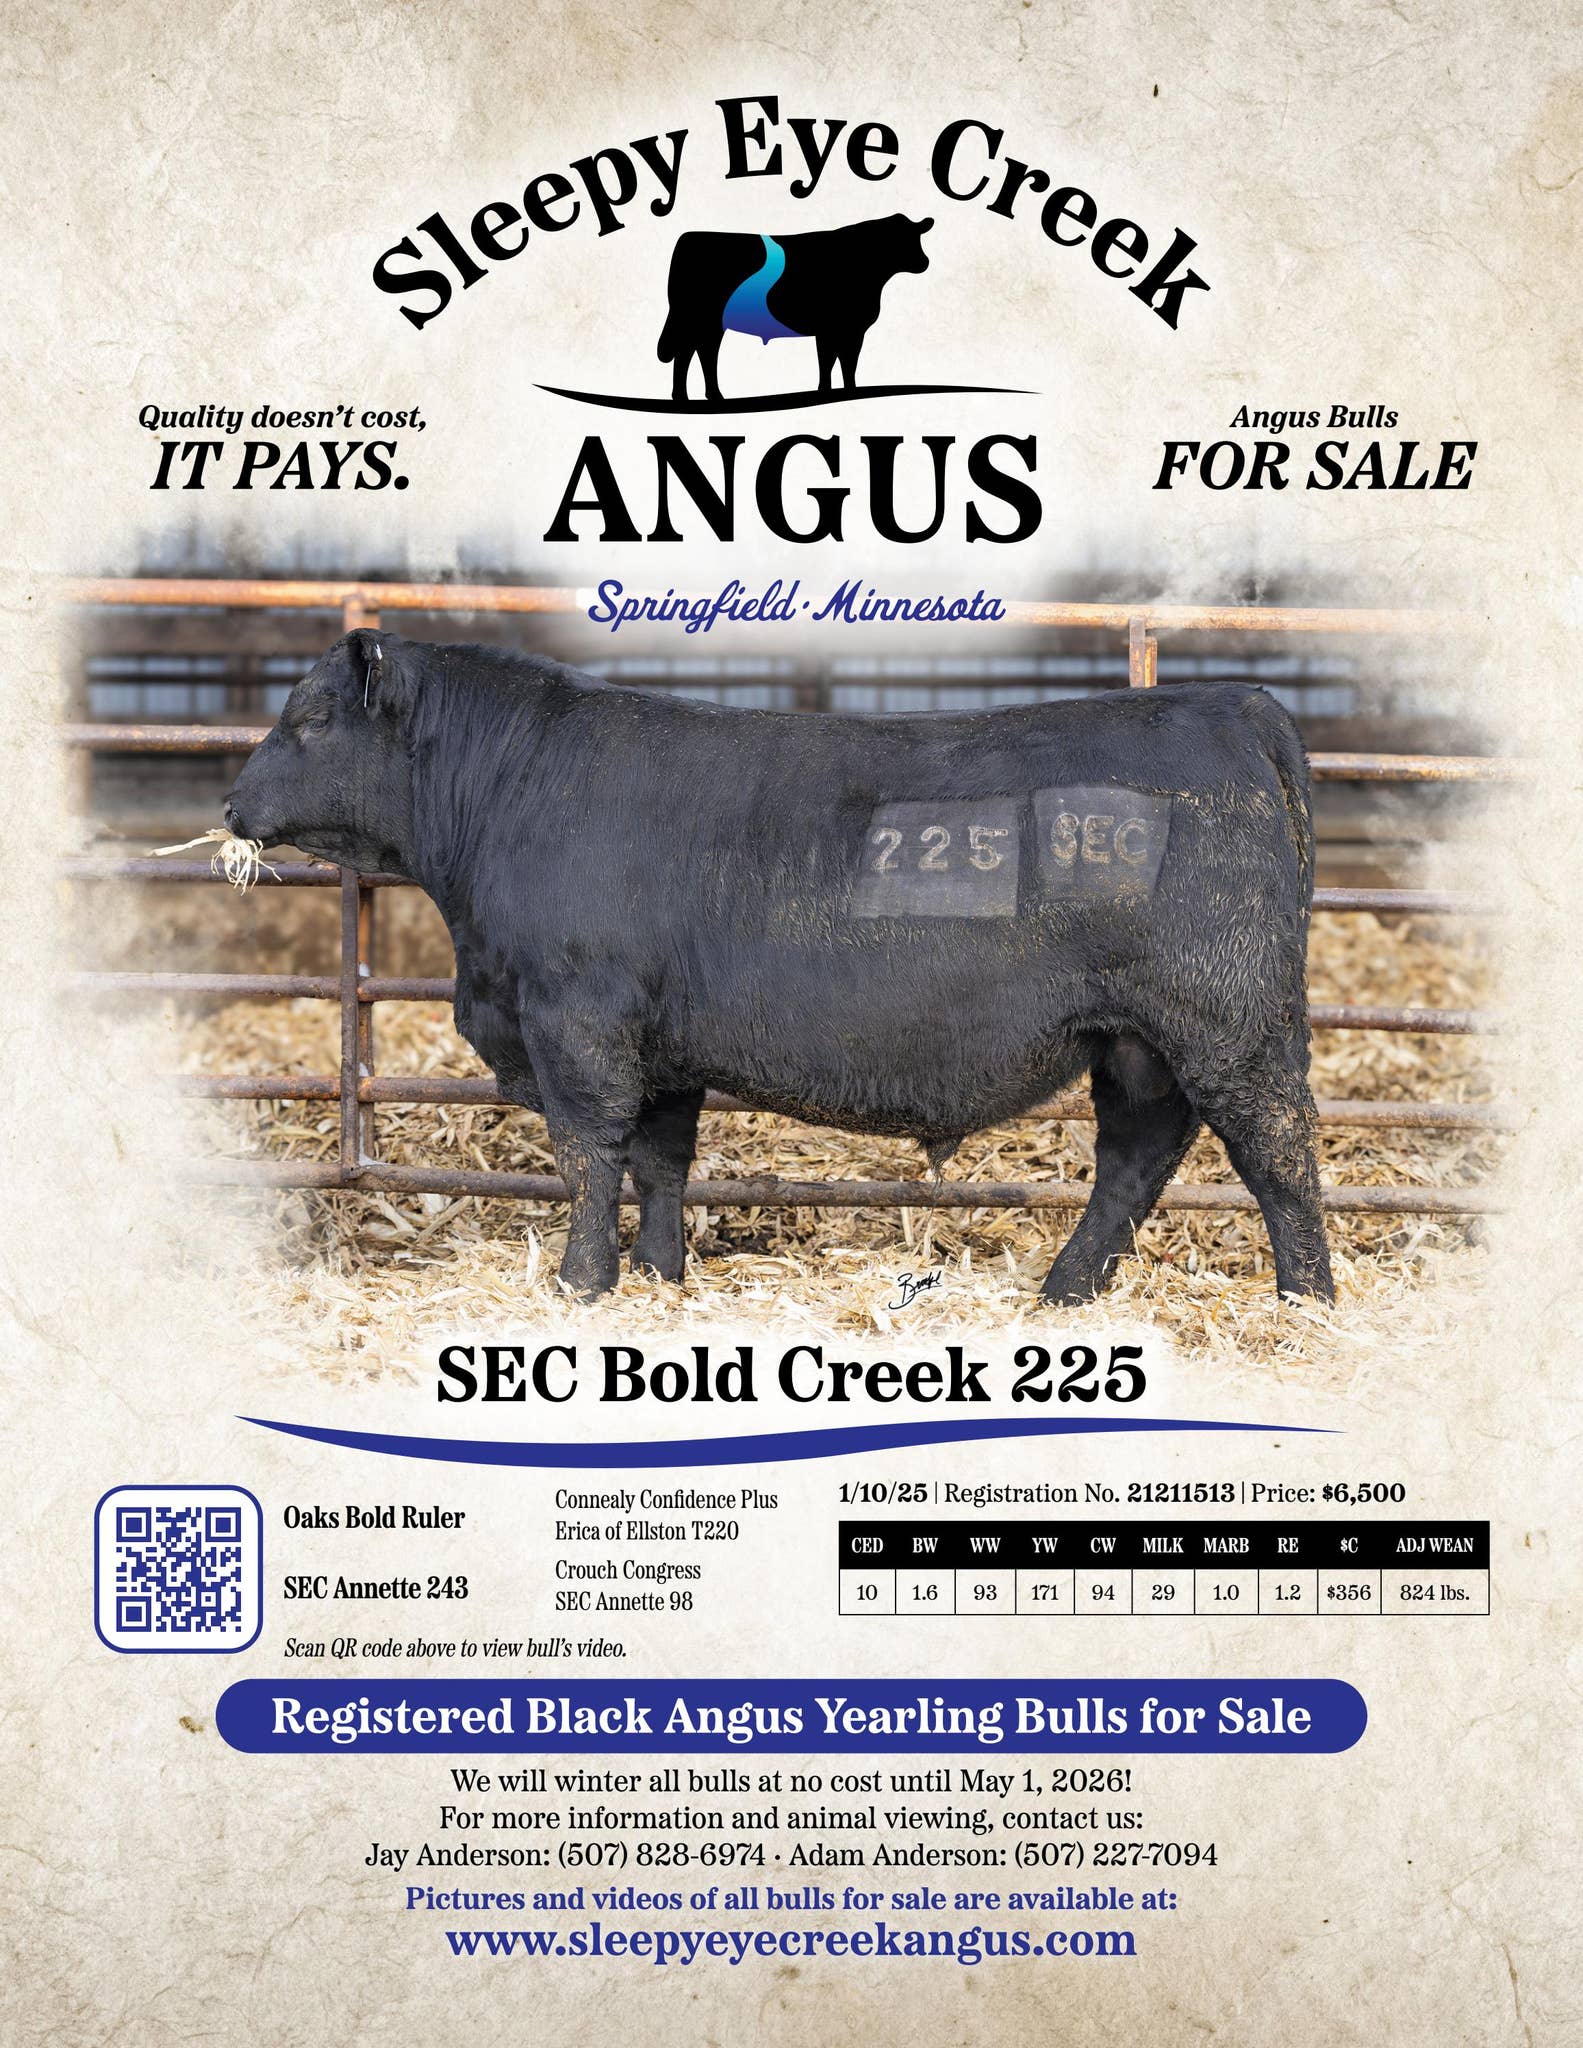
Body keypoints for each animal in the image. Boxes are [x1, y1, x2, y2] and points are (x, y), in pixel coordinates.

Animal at [223, 632, 1334, 1306]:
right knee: (1138, 1152)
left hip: (1224, 1018)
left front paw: (583, 1284)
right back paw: (1065, 1292)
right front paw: (661, 1278)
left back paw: (1304, 1301)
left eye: (310, 716)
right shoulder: (661, 1046)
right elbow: (660, 1160)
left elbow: (588, 1153)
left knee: (1277, 1152)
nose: (232, 803)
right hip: (1134, 1038)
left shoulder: (576, 1018)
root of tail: (1235, 705)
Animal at [657, 214, 934, 403]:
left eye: (916, 237)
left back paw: (700, 396)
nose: (925, 262)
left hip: (708, 323)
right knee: (692, 352)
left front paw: (841, 391)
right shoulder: (839, 328)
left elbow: (839, 361)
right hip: (699, 318)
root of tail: (690, 236)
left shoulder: (844, 329)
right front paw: (836, 392)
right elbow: (837, 360)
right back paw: (692, 397)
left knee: (699, 351)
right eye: (902, 240)